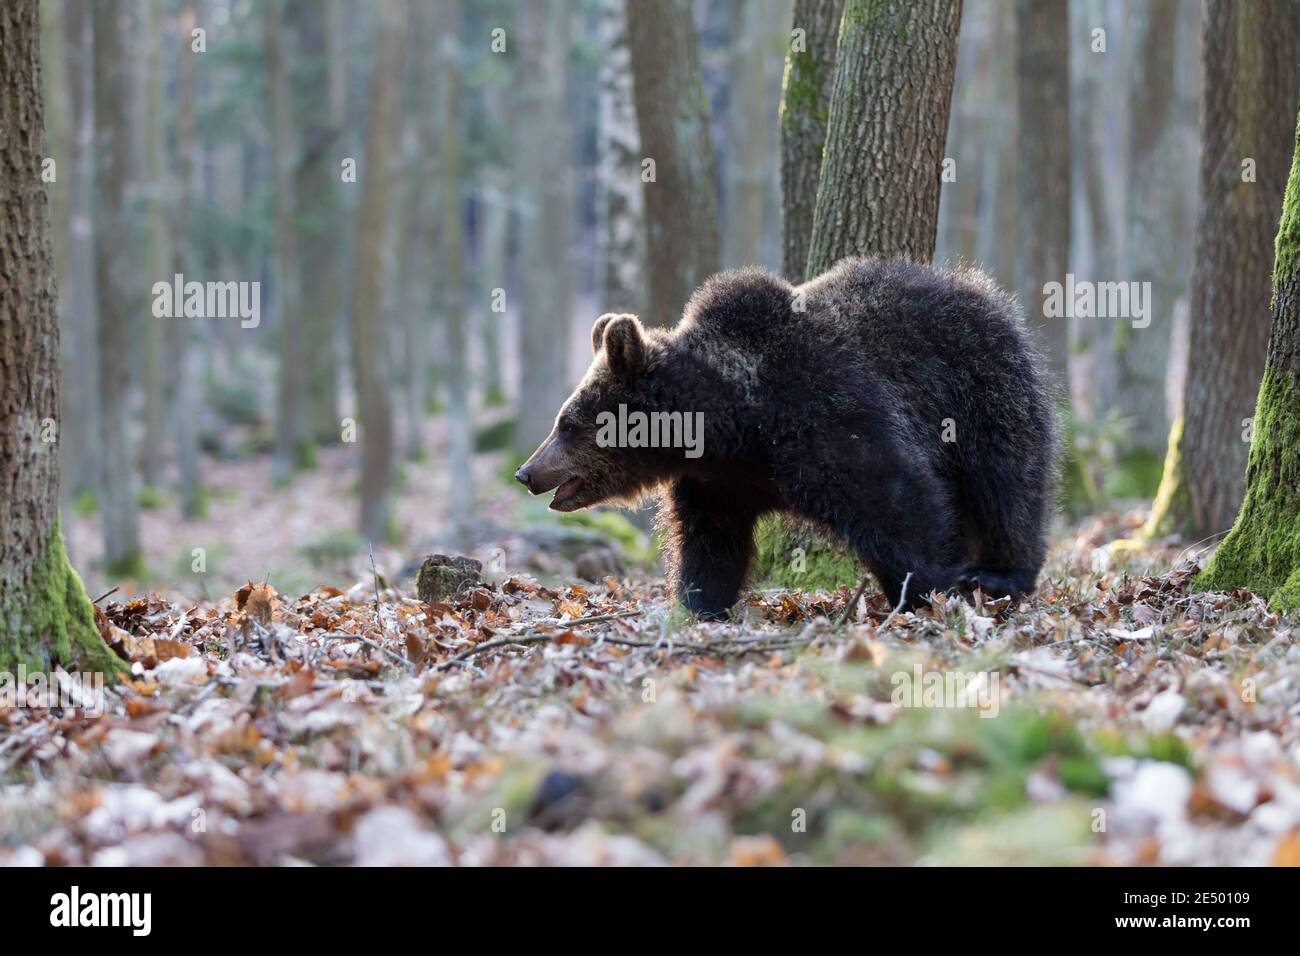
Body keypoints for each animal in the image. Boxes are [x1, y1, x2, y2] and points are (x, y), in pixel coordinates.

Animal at [516, 257, 1058, 619]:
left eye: (568, 423)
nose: (527, 472)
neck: (735, 423)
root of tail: (986, 295)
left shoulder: (828, 414)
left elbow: (898, 500)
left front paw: (929, 590)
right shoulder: (718, 481)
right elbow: (711, 541)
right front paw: (697, 603)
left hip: (984, 392)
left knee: (1007, 484)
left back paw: (1000, 572)